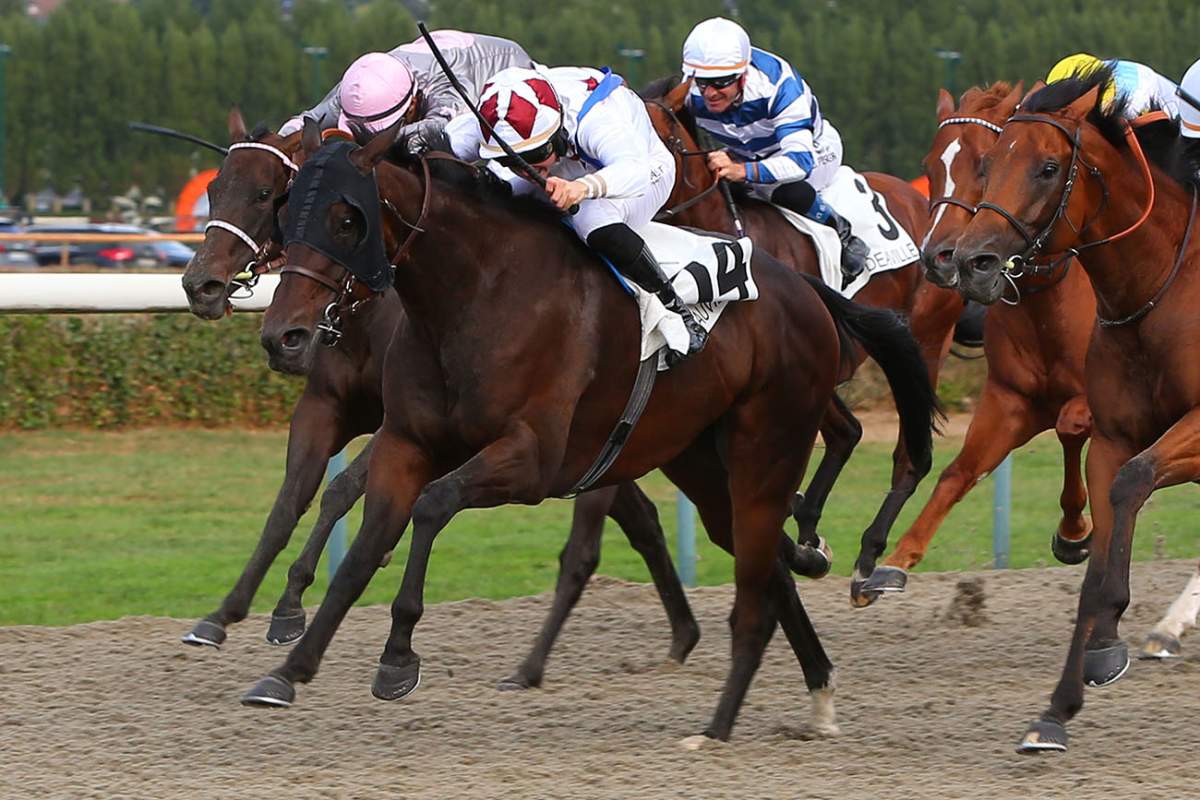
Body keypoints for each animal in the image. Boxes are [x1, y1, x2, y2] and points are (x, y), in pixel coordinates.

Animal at [178, 109, 702, 689]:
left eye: (266, 194)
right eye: (215, 189)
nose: (200, 285)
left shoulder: (405, 422)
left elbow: (343, 491)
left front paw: (301, 598)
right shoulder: (333, 405)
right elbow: (295, 498)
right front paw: (234, 613)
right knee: (638, 515)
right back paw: (681, 634)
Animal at [241, 120, 939, 743]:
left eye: (347, 219)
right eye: (285, 214)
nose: (285, 336)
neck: (479, 293)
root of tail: (810, 288)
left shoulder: (531, 461)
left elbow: (433, 507)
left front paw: (397, 655)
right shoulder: (406, 443)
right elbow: (362, 551)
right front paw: (288, 670)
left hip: (767, 448)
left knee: (762, 570)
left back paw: (731, 717)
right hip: (701, 463)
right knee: (765, 566)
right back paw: (817, 694)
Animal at [641, 77, 960, 604]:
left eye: (659, 139)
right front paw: (801, 532)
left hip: (926, 337)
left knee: (909, 454)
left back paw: (869, 559)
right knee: (849, 434)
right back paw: (812, 527)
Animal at [880, 82, 1094, 580]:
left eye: (983, 163)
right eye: (929, 166)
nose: (939, 257)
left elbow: (1072, 428)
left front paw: (1075, 532)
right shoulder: (1010, 398)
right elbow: (959, 472)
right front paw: (892, 562)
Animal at [949, 68, 1200, 752]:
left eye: (1047, 167)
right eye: (991, 165)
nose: (973, 262)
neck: (1158, 290)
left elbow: (1136, 480)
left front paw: (1109, 640)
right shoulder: (1111, 438)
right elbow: (1100, 548)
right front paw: (1060, 705)